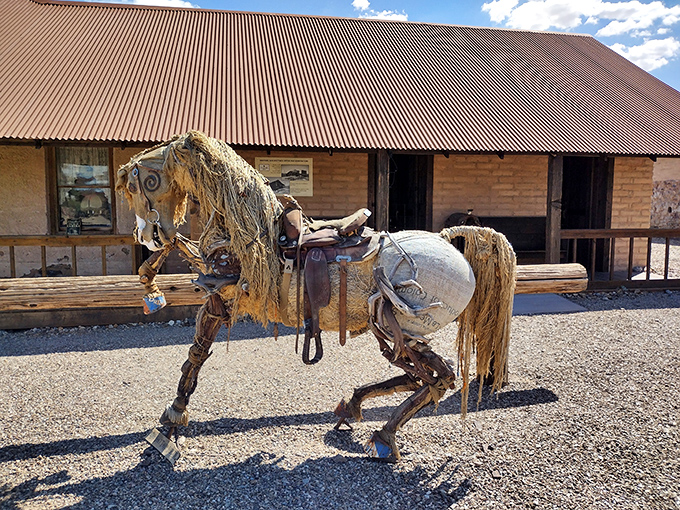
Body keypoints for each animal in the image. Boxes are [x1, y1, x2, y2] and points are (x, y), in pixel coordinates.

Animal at [115, 130, 516, 462]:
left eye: (146, 181)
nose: (147, 236)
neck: (254, 233)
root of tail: (450, 239)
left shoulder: (220, 298)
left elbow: (196, 356)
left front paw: (171, 422)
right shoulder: (220, 297)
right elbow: (195, 352)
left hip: (399, 325)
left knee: (438, 378)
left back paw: (383, 436)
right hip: (395, 330)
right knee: (423, 376)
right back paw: (353, 407)